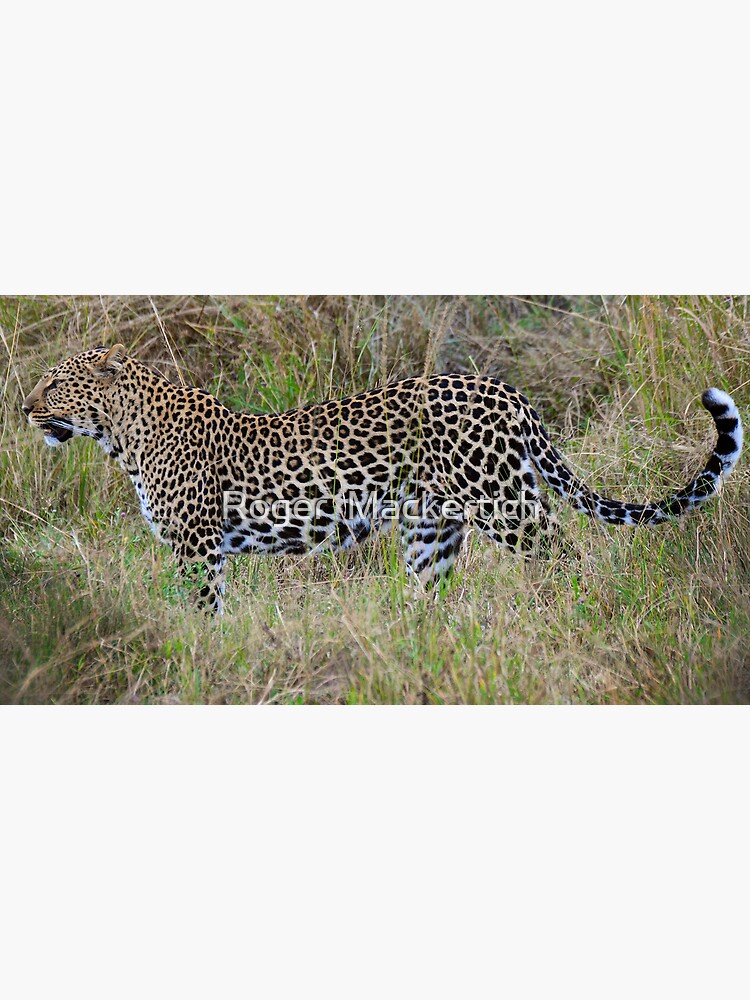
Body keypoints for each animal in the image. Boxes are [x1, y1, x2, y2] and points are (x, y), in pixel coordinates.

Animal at [22, 344, 743, 615]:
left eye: (55, 384)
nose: (25, 408)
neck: (122, 436)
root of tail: (501, 387)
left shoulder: (197, 547)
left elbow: (202, 612)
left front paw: (202, 654)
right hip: (432, 527)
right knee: (433, 592)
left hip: (505, 501)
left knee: (569, 557)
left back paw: (580, 613)